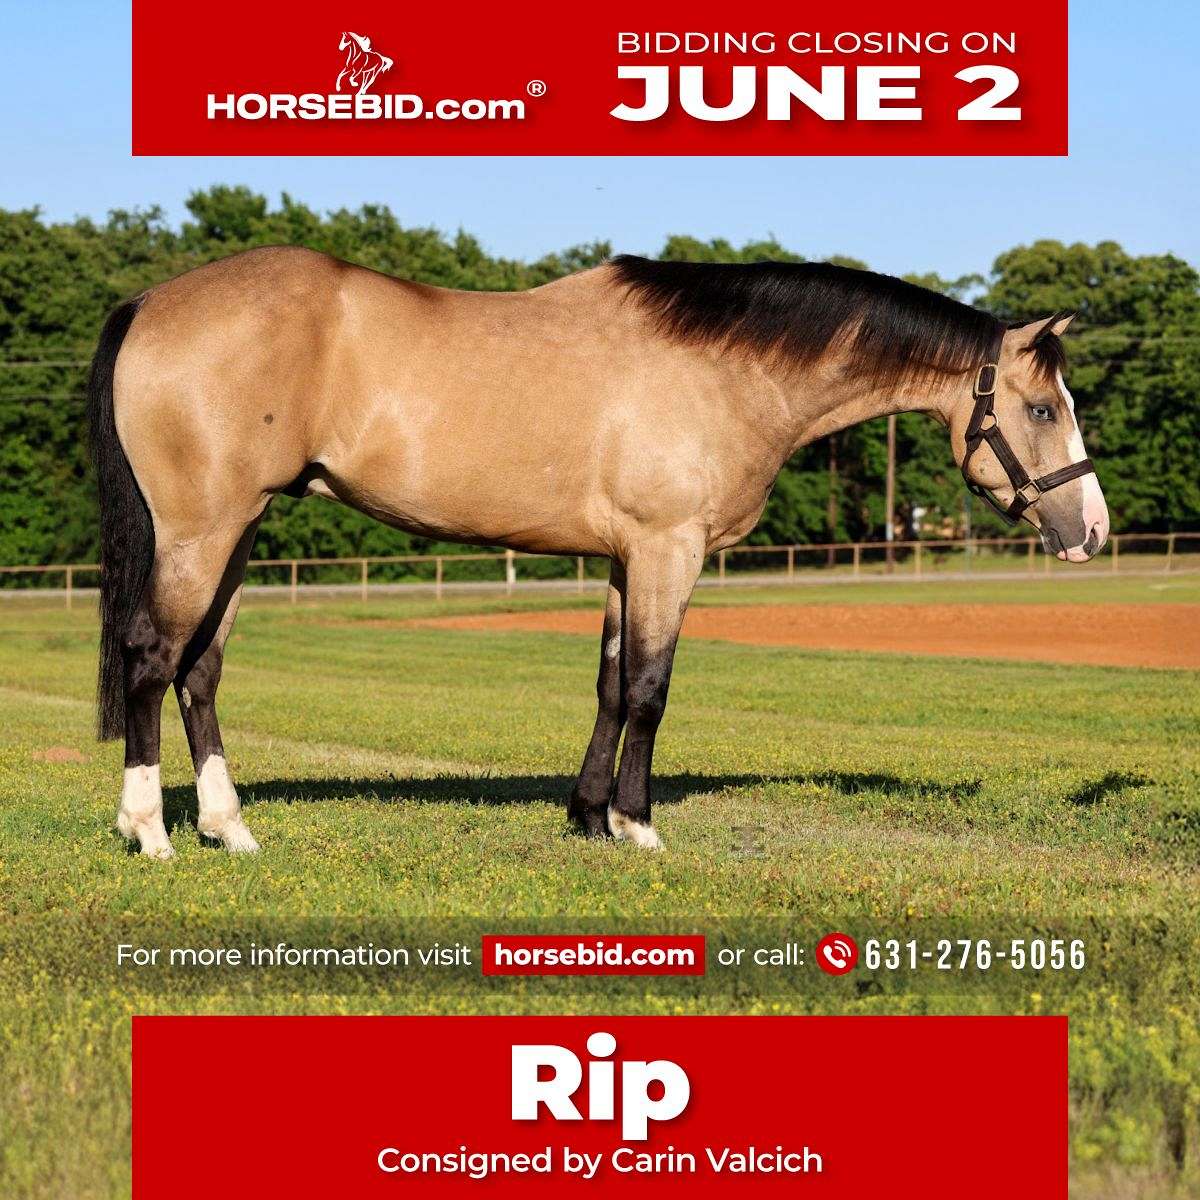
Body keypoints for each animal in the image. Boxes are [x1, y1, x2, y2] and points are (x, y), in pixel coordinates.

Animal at [87, 248, 1109, 858]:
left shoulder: (627, 558)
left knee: (200, 671)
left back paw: (229, 828)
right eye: (1043, 408)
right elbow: (651, 688)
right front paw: (637, 823)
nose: (1093, 531)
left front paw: (586, 816)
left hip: (242, 527)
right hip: (203, 530)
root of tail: (149, 301)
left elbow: (612, 685)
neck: (723, 369)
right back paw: (150, 830)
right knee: (152, 657)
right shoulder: (669, 549)